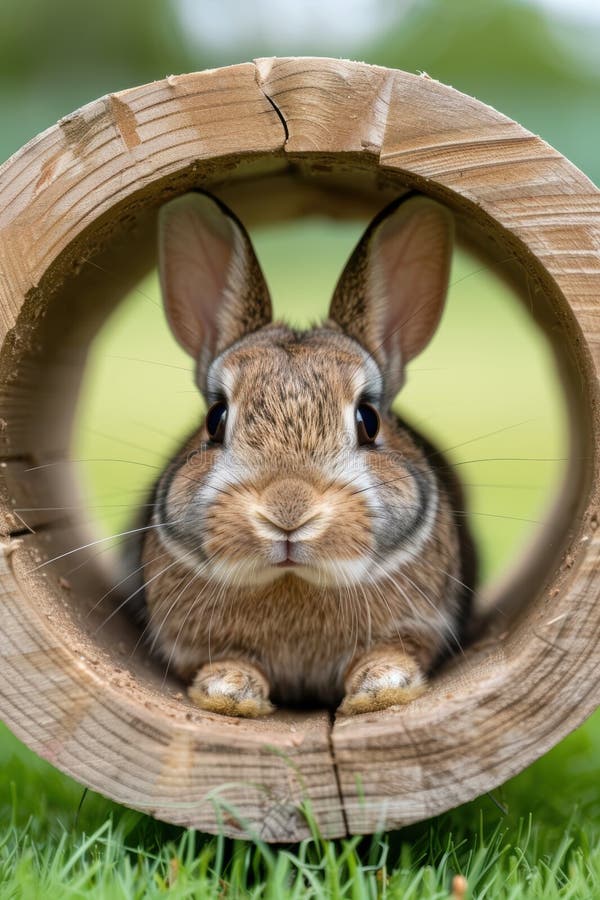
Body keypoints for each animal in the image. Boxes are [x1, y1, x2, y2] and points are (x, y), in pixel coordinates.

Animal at [137, 189, 476, 718]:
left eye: (368, 420)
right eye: (215, 418)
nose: (287, 511)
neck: (295, 581)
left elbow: (392, 653)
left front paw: (382, 688)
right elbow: (226, 662)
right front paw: (229, 692)